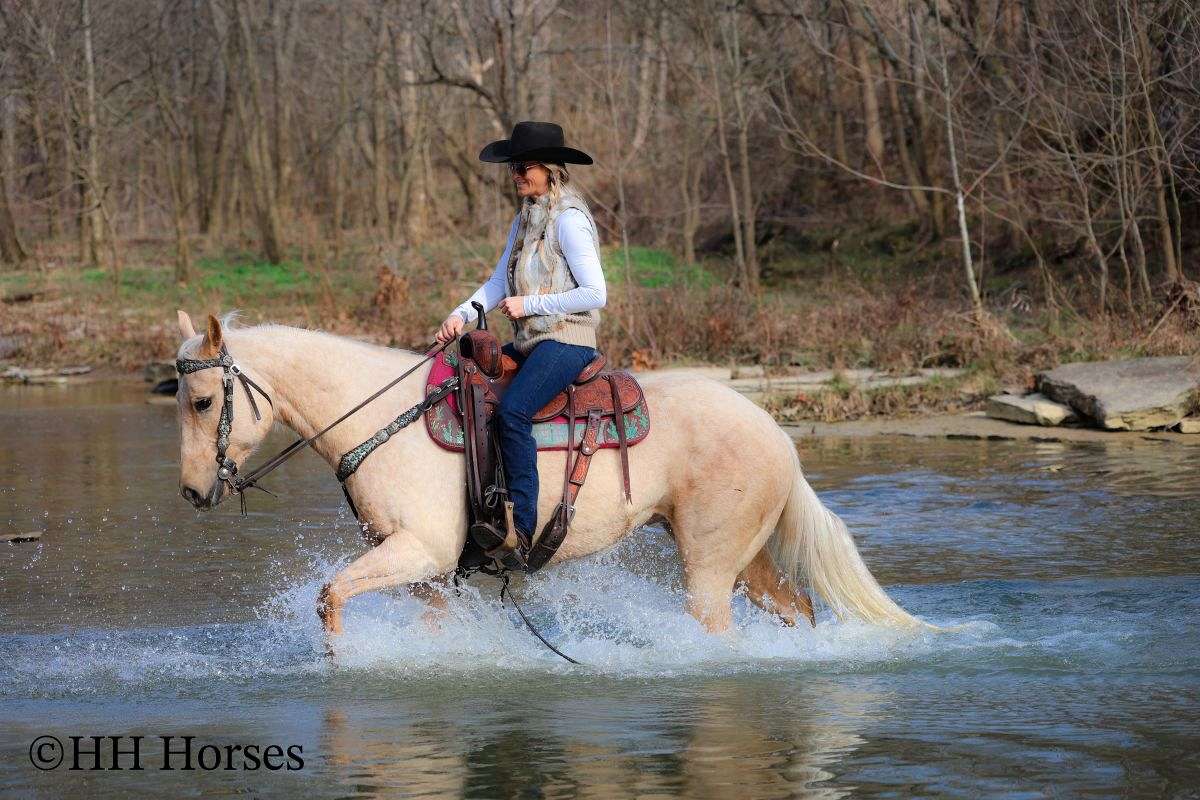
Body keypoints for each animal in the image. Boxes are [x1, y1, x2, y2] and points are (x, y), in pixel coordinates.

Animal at [173, 311, 927, 639]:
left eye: (203, 401)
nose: (192, 492)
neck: (386, 421)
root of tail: (777, 435)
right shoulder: (423, 573)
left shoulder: (420, 550)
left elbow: (330, 597)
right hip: (748, 559)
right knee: (798, 609)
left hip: (711, 568)